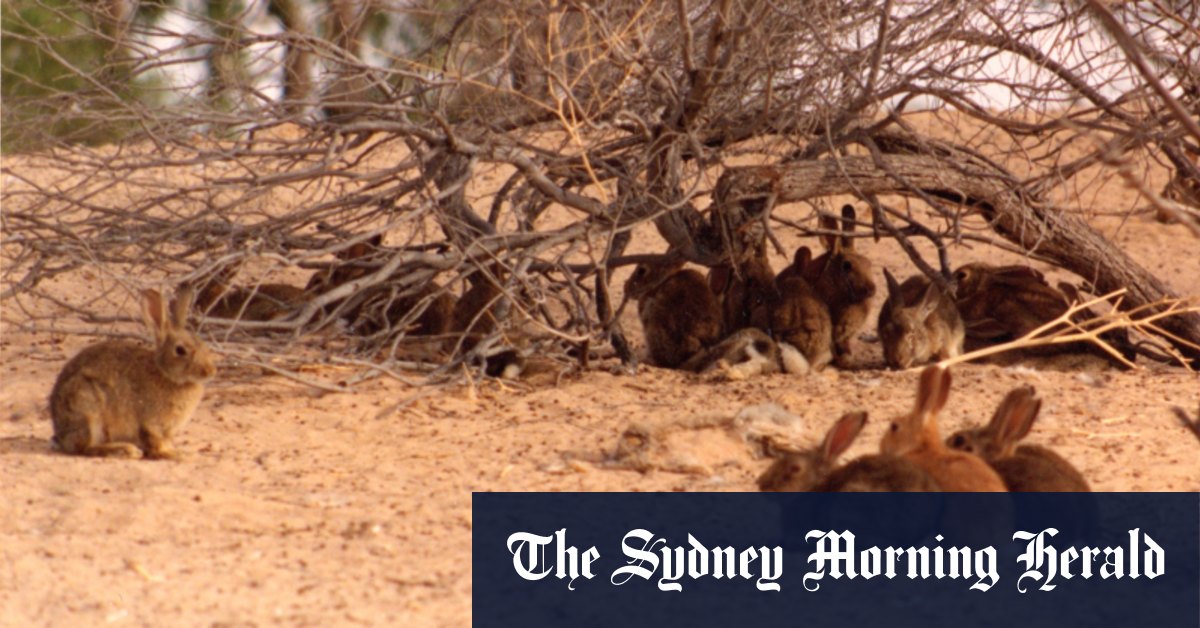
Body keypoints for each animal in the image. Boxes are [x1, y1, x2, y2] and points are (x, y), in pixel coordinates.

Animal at [49, 288, 217, 459]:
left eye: (203, 345)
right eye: (180, 350)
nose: (210, 371)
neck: (164, 372)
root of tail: (61, 434)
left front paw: (177, 451)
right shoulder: (152, 424)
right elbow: (155, 443)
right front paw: (173, 454)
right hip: (88, 410)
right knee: (86, 448)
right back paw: (126, 450)